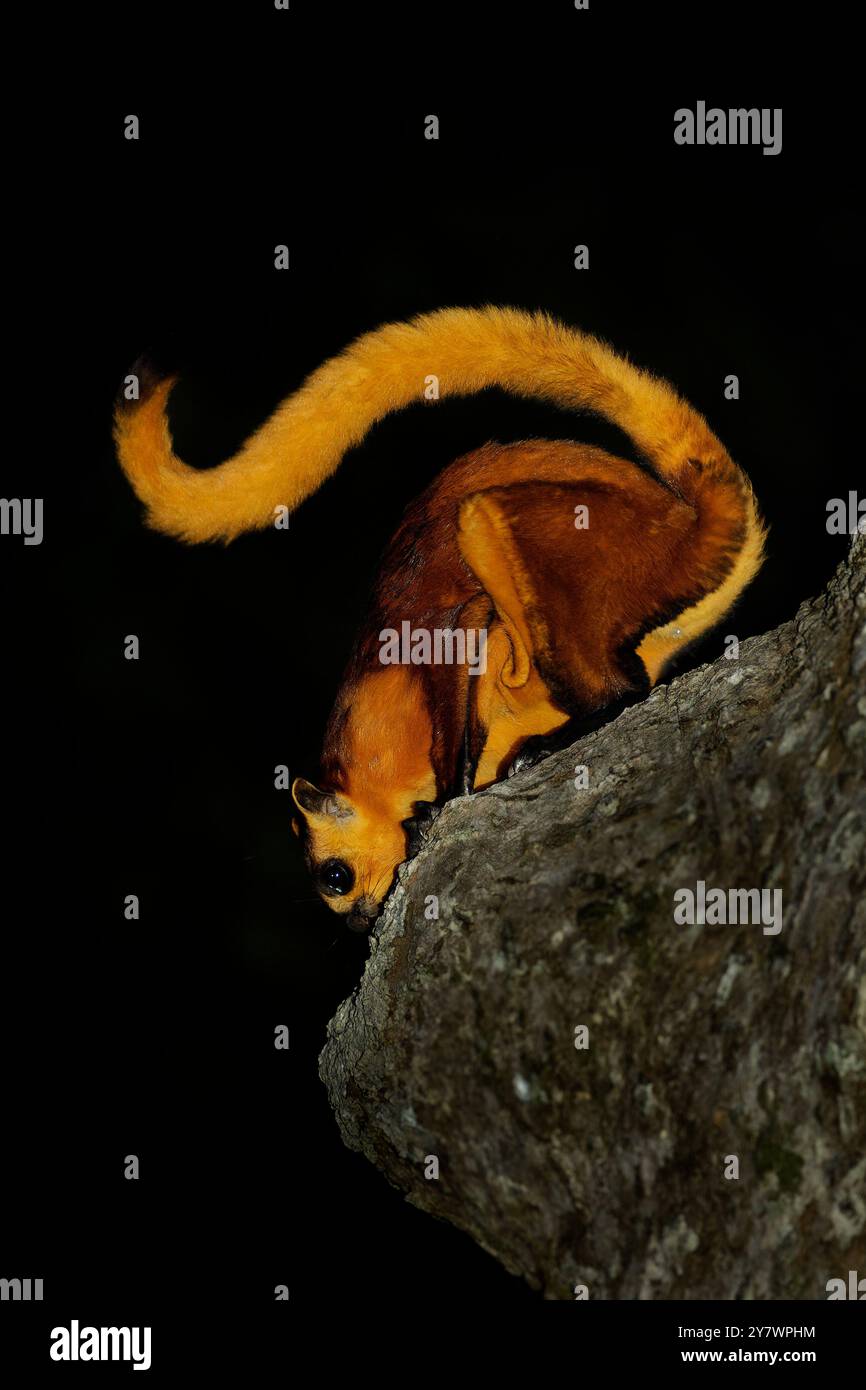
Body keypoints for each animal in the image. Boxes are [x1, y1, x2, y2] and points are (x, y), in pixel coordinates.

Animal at [114, 306, 766, 931]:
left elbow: (457, 685)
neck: (370, 779)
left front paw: (444, 802)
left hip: (503, 526)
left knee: (622, 687)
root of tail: (690, 520)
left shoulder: (435, 659)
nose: (357, 925)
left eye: (334, 878)